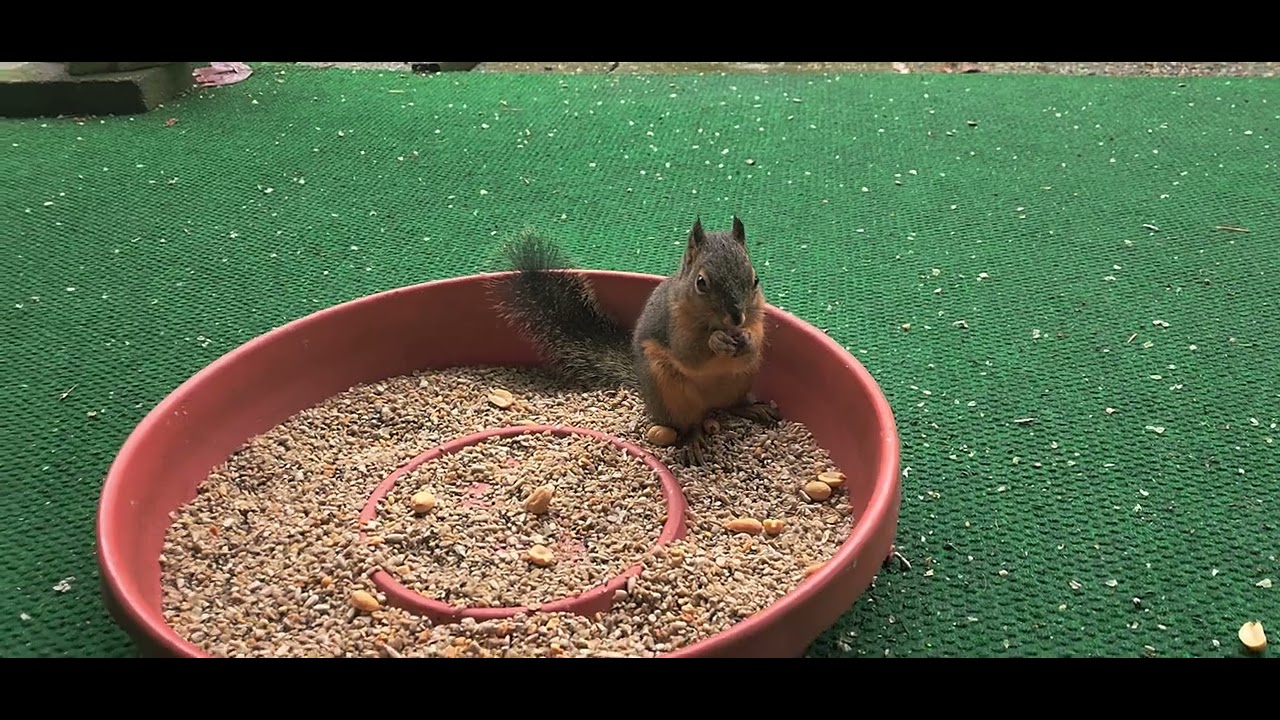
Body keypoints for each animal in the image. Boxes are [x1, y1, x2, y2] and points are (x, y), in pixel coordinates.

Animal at [492, 216, 780, 466]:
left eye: (755, 279)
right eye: (701, 282)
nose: (736, 317)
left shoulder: (756, 315)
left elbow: (757, 338)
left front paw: (748, 338)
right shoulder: (673, 324)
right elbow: (689, 354)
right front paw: (717, 341)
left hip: (740, 380)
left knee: (731, 405)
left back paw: (753, 410)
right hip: (670, 392)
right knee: (688, 424)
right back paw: (693, 440)